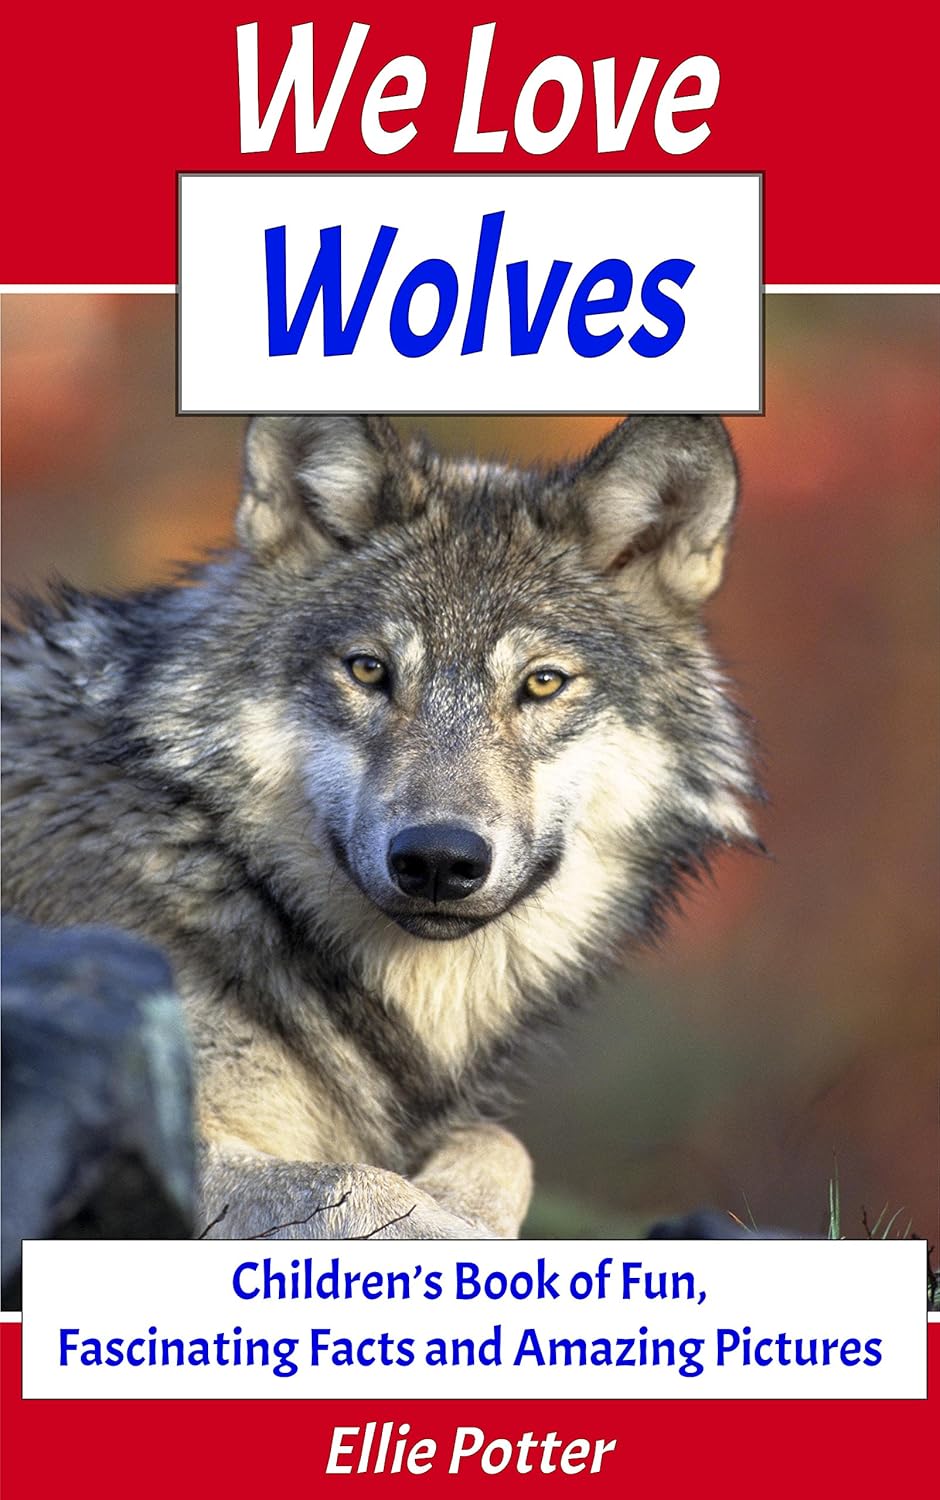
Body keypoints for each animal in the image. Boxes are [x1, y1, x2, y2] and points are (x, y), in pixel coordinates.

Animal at [2, 413, 759, 1239]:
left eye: (542, 683)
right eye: (368, 670)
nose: (438, 859)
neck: (212, 861)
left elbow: (501, 1144)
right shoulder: (155, 1136)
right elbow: (367, 1185)